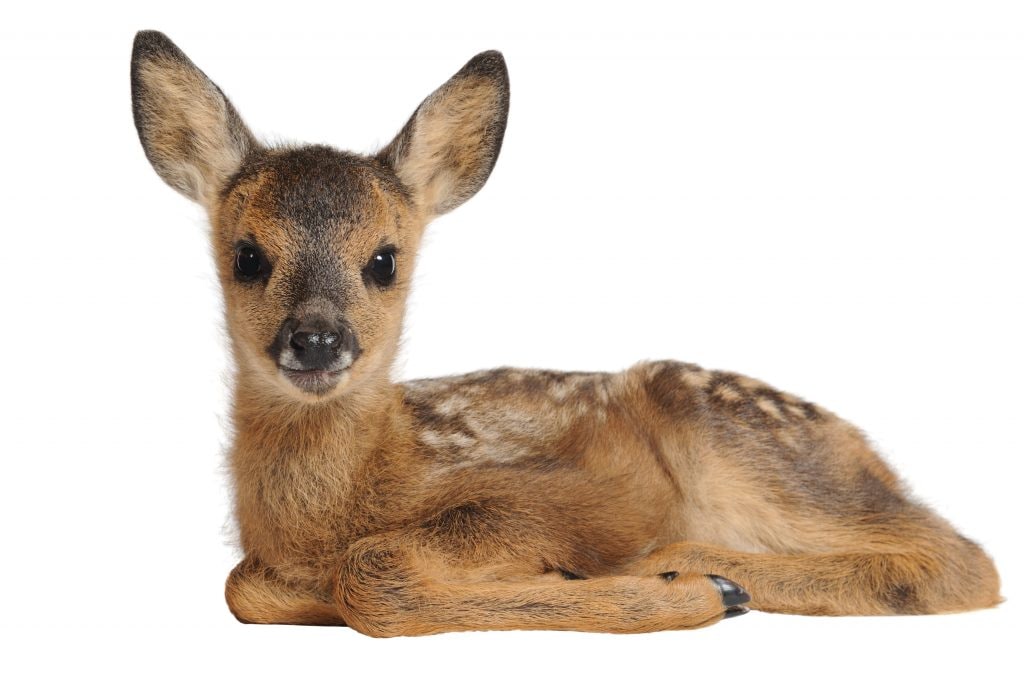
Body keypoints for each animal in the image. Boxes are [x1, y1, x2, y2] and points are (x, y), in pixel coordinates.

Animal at [130, 30, 1001, 636]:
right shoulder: (265, 568)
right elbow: (245, 584)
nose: (316, 340)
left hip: (748, 449)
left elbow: (371, 570)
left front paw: (671, 591)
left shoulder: (560, 493)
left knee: (962, 560)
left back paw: (701, 570)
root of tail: (866, 449)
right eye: (247, 255)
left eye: (383, 259)